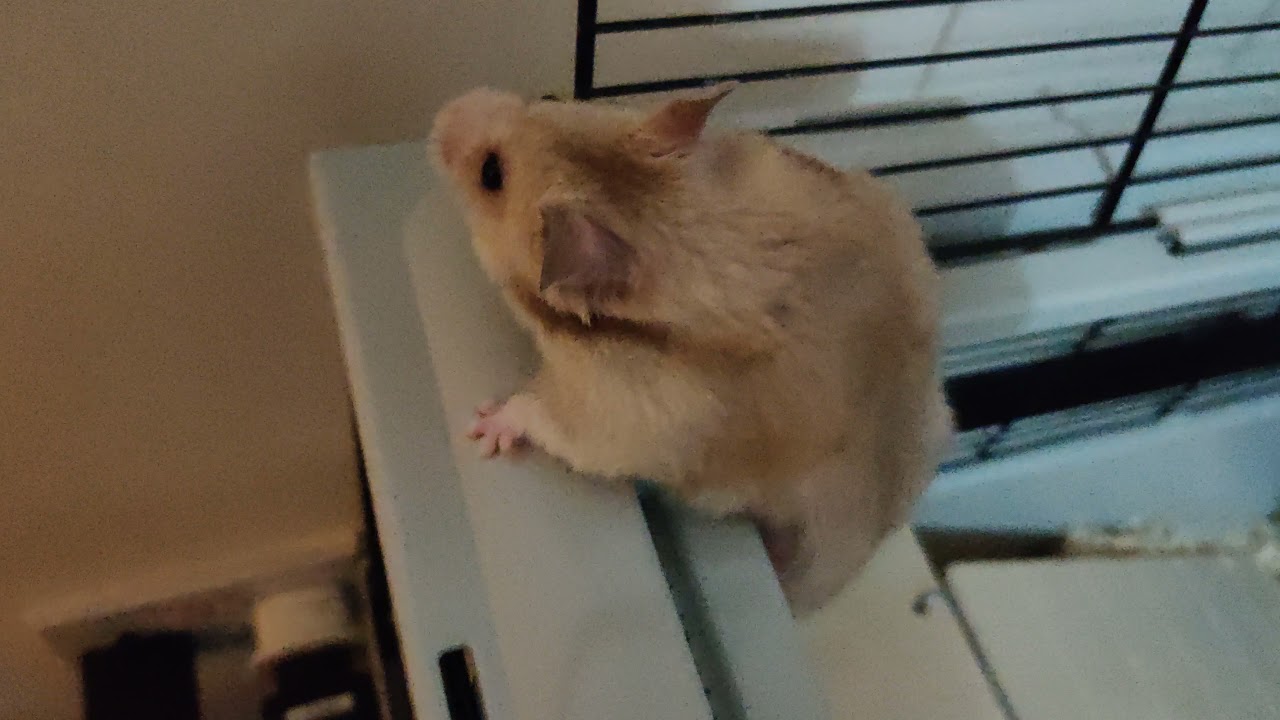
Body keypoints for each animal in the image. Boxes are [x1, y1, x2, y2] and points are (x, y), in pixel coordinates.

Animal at [430, 83, 953, 615]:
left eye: (491, 174)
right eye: (549, 98)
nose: (444, 112)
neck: (689, 239)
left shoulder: (621, 411)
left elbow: (544, 416)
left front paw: (485, 427)